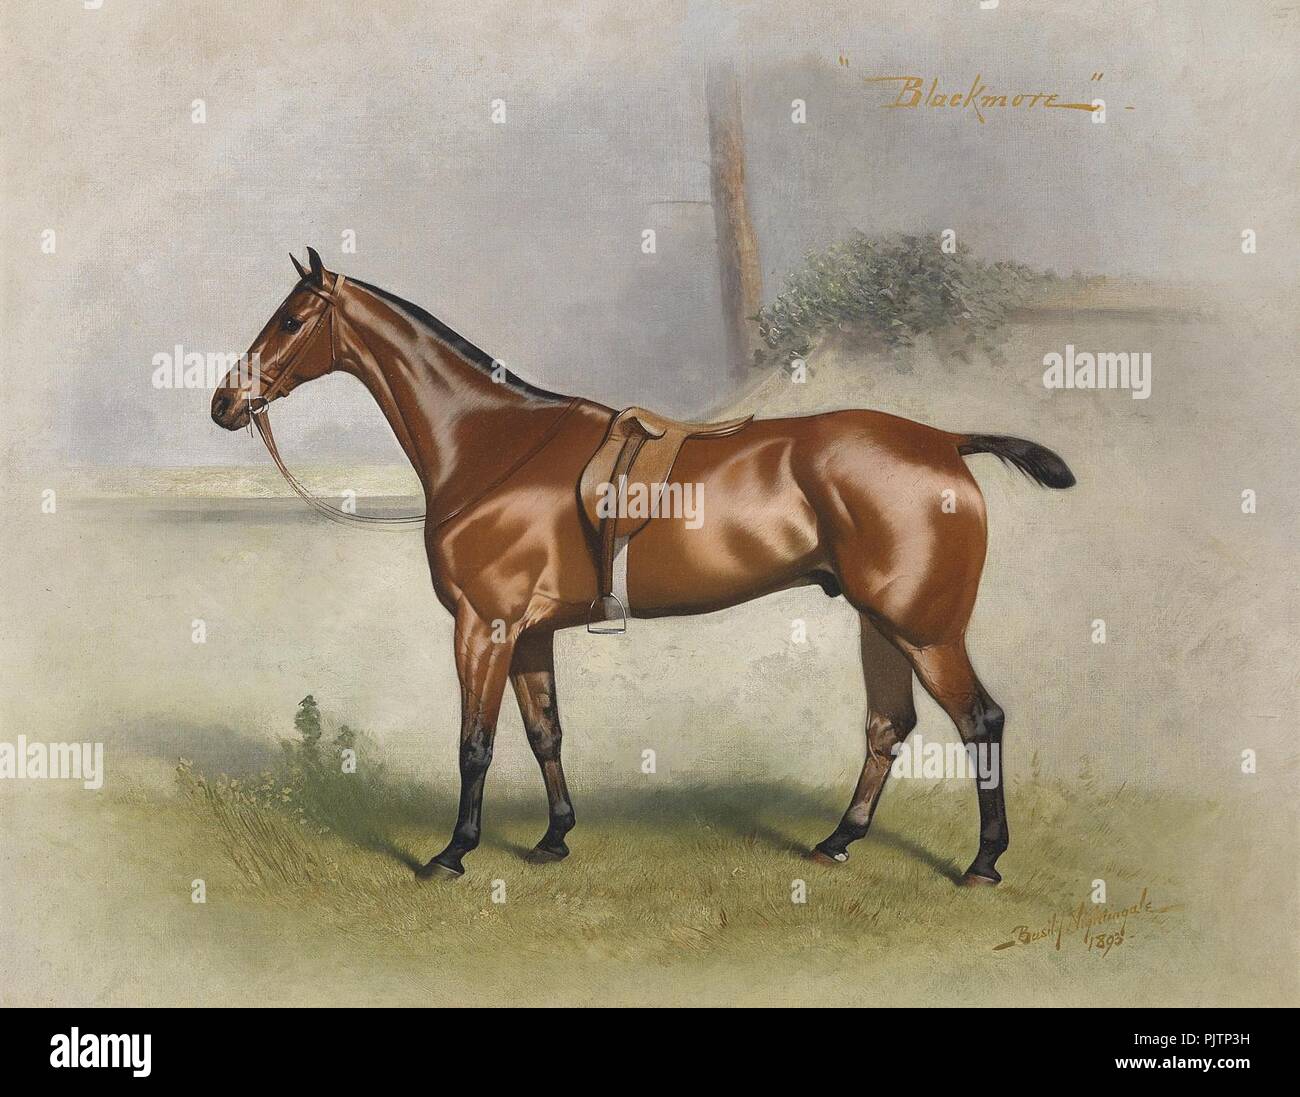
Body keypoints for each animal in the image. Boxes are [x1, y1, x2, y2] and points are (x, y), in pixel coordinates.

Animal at [211, 248, 1076, 886]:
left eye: (291, 318)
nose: (224, 401)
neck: (493, 445)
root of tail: (945, 442)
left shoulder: (484, 626)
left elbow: (475, 743)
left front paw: (452, 852)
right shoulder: (528, 634)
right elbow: (545, 732)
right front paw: (554, 838)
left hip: (925, 631)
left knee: (980, 721)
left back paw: (983, 862)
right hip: (881, 625)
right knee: (888, 725)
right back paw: (838, 840)